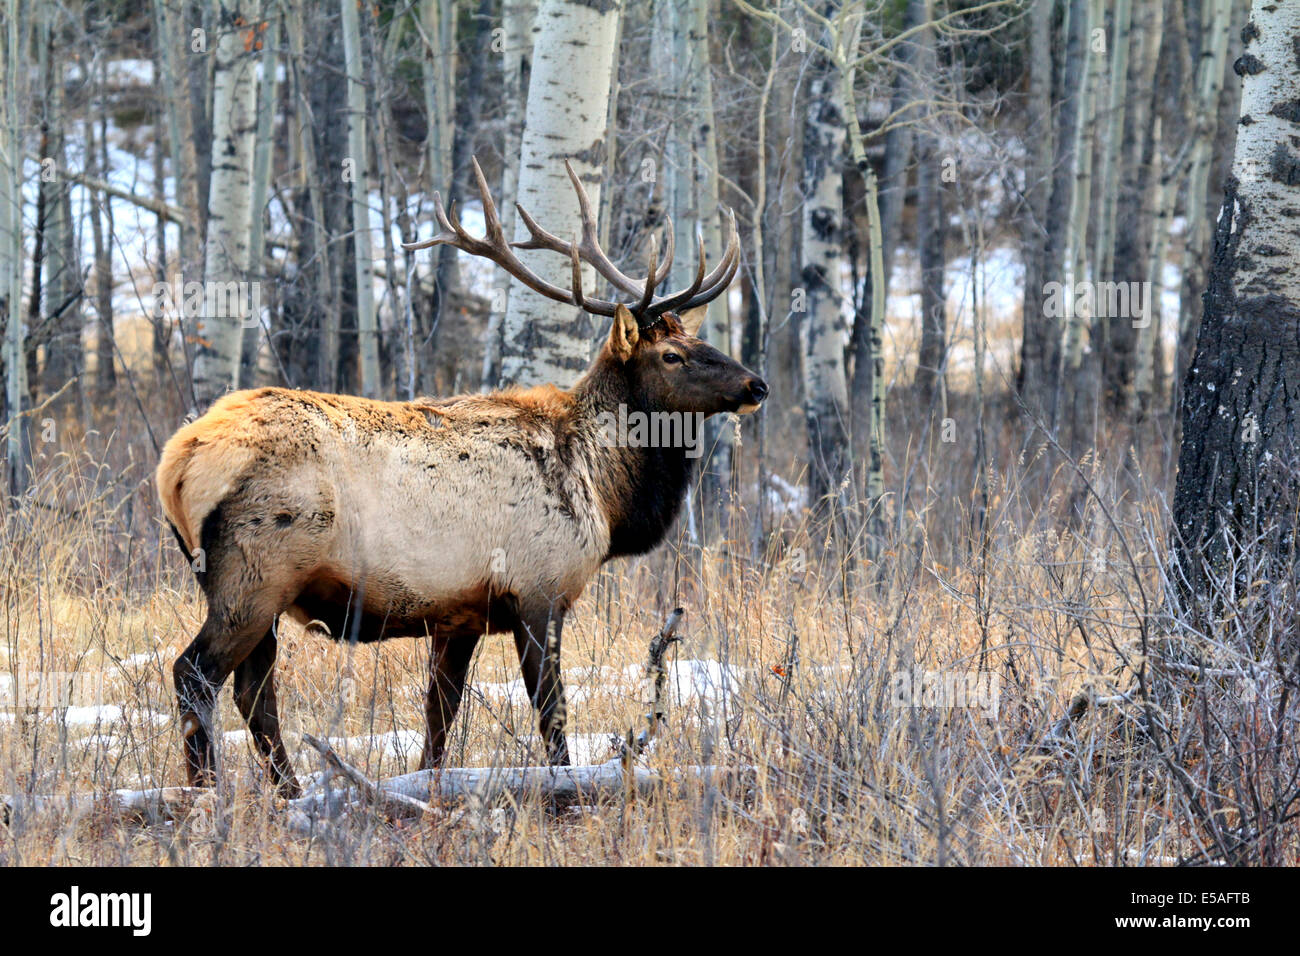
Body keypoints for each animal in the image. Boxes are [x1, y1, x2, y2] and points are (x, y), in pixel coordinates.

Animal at [155, 159, 767, 797]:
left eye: (699, 338)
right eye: (671, 356)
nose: (756, 385)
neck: (605, 492)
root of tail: (175, 464)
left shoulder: (460, 613)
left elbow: (439, 716)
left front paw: (425, 789)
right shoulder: (540, 589)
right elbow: (551, 712)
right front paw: (564, 790)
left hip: (256, 589)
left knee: (253, 690)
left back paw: (288, 792)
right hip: (256, 575)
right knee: (195, 674)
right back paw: (207, 793)